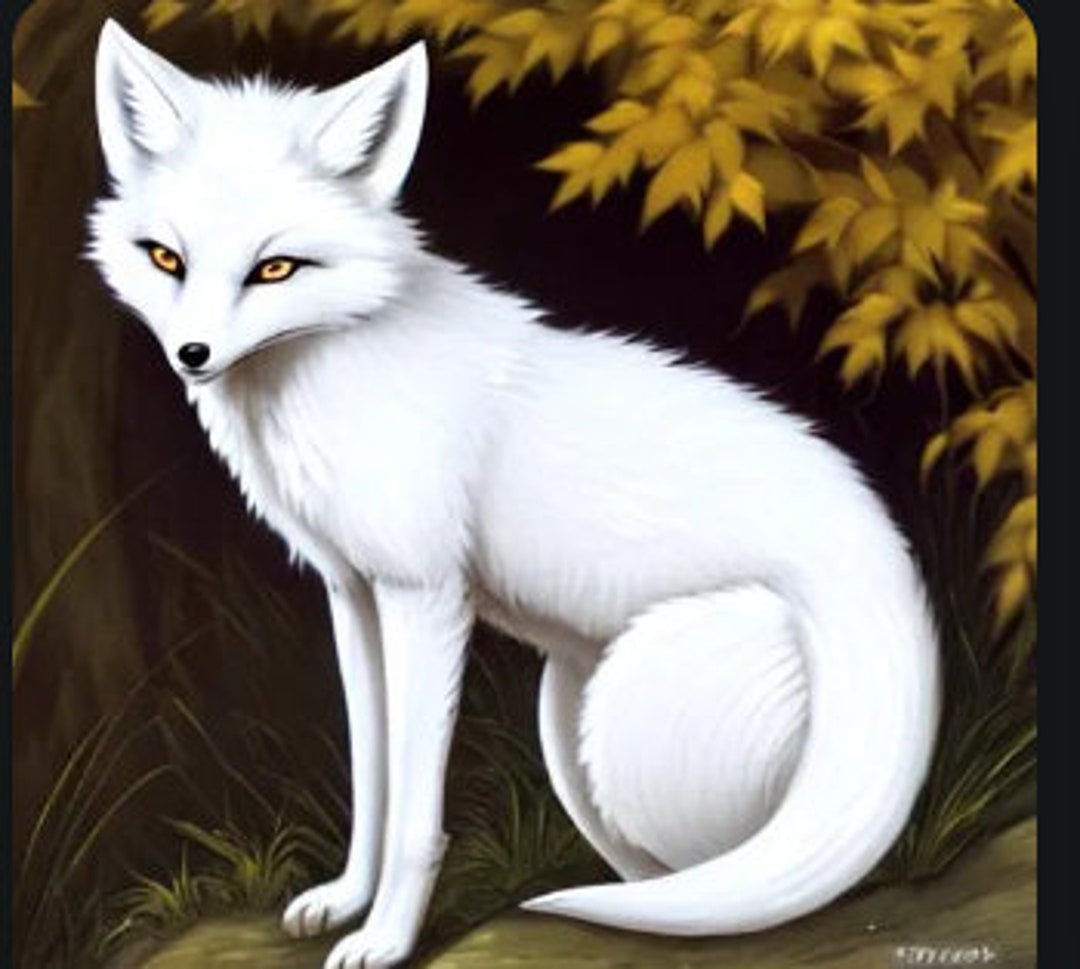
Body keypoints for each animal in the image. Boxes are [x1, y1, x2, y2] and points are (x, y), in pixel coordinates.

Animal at [88, 18, 941, 969]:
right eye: (166, 258)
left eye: (274, 269)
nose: (191, 354)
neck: (321, 375)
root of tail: (889, 569)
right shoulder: (352, 592)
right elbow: (371, 780)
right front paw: (346, 900)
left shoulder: (424, 595)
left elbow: (415, 810)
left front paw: (387, 938)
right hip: (566, 720)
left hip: (627, 712)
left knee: (734, 885)